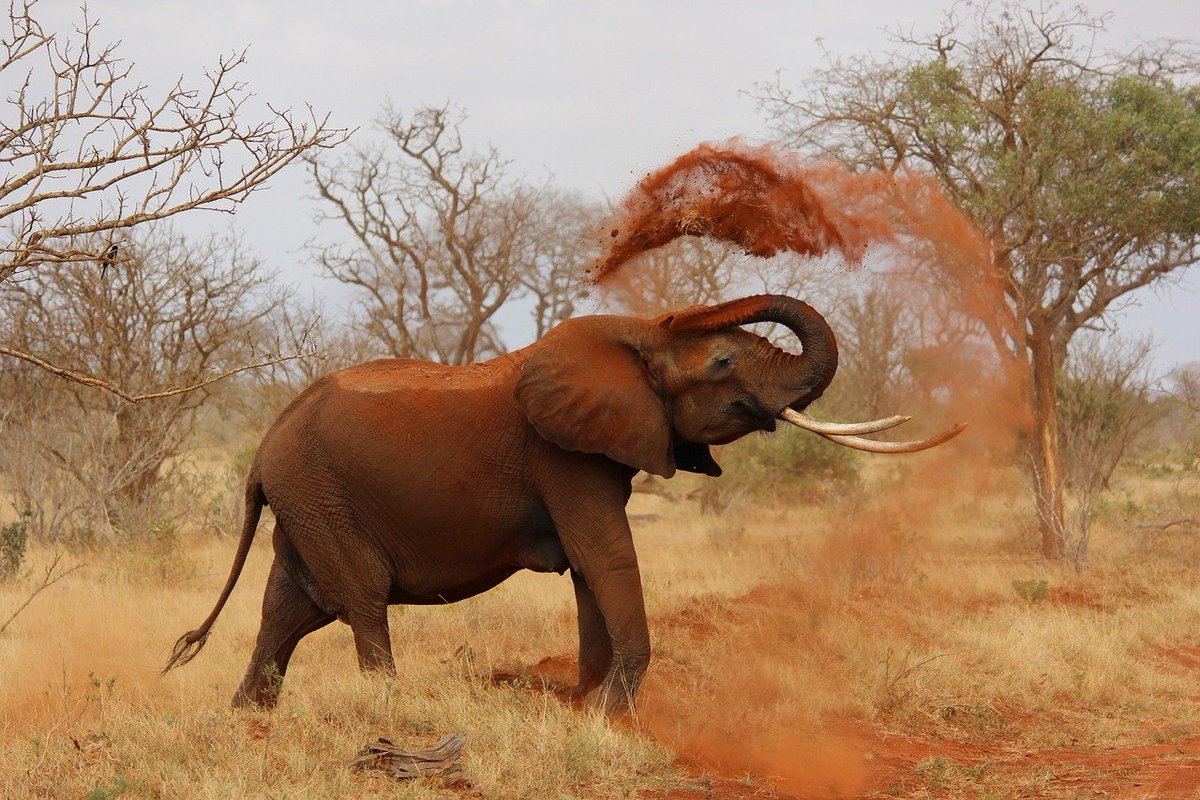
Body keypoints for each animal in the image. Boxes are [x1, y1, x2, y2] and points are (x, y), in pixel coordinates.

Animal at [163, 294, 960, 711]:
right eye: (724, 361)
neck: (634, 339)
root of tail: (264, 446)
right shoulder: (563, 456)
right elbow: (605, 555)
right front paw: (610, 712)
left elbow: (589, 568)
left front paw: (586, 704)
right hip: (320, 493)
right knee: (358, 597)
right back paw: (389, 707)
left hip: (305, 499)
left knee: (290, 606)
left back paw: (249, 720)